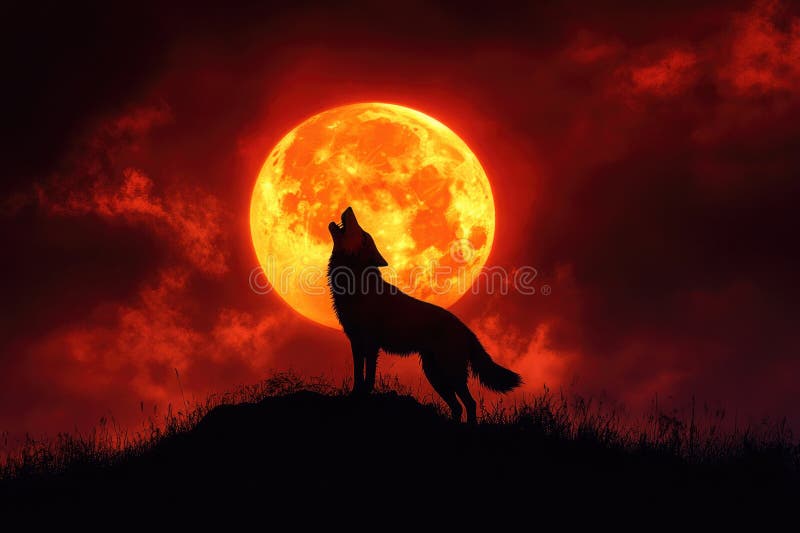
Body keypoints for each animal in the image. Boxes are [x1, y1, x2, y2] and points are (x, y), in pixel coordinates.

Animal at [327, 206, 522, 423]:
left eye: (362, 233)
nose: (349, 208)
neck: (355, 284)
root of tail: (465, 328)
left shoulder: (371, 344)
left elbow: (368, 378)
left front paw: (364, 398)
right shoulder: (355, 341)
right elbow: (357, 376)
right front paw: (354, 396)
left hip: (449, 373)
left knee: (470, 403)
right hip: (435, 375)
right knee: (457, 407)